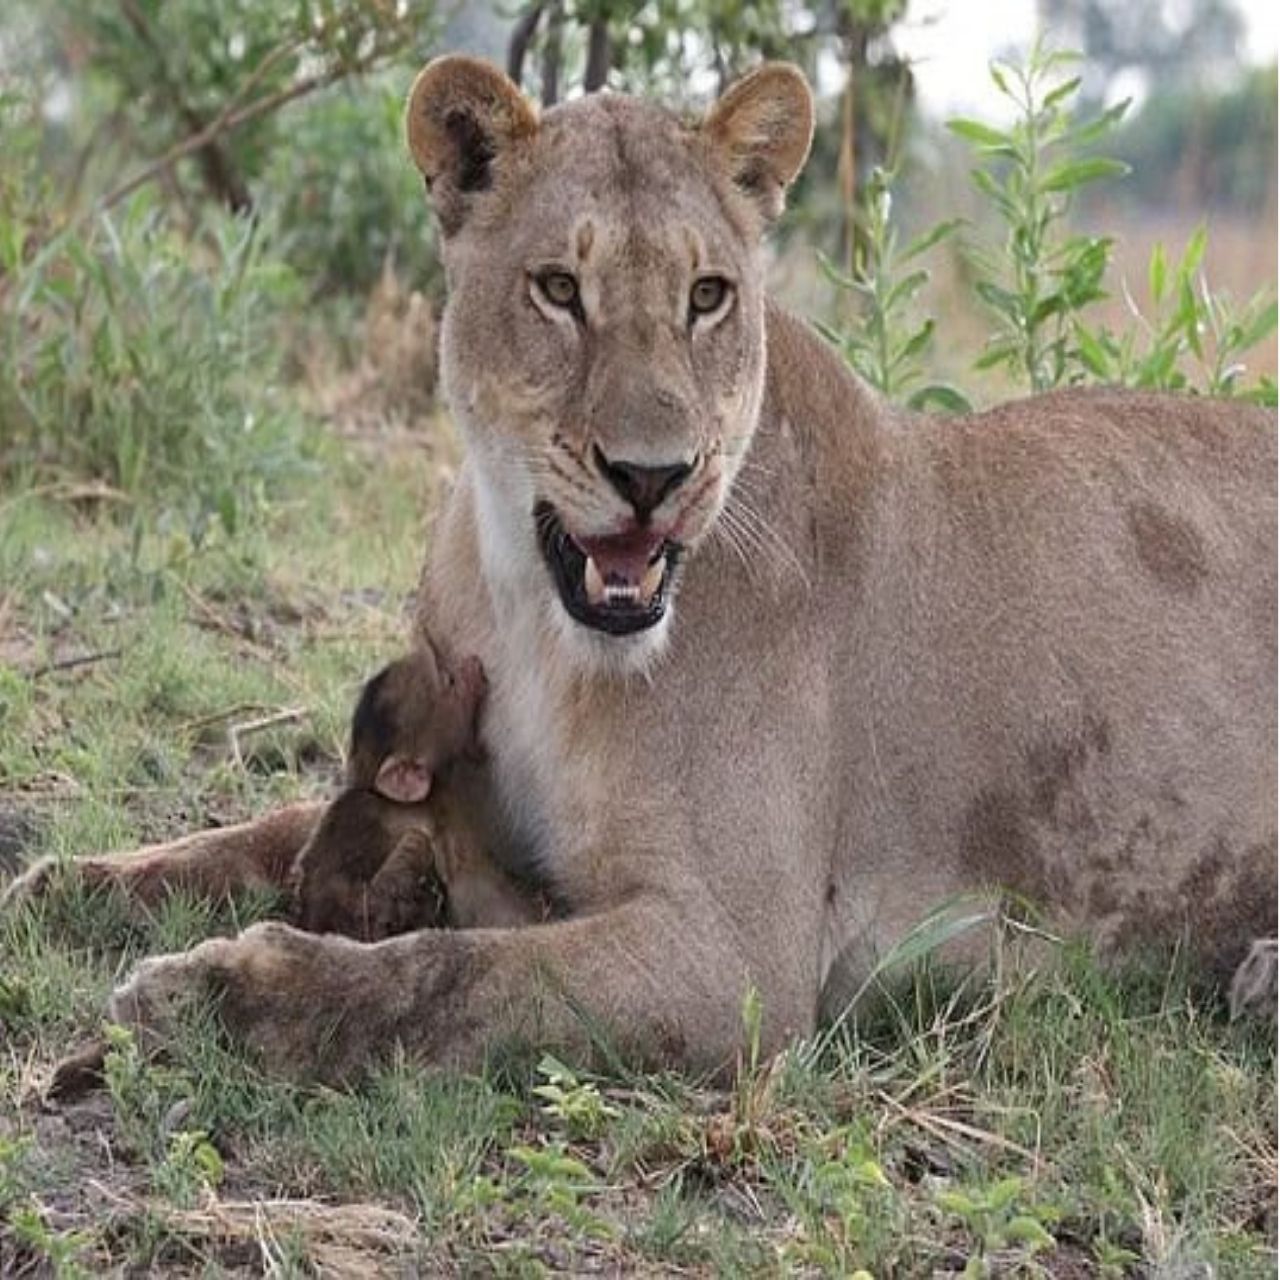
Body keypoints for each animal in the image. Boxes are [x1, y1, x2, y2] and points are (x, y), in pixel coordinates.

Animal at [4, 57, 1274, 1080]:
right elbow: (264, 826)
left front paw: (210, 992)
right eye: (557, 289)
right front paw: (69, 881)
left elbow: (461, 976)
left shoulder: (735, 960)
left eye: (707, 295)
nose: (652, 475)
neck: (530, 606)